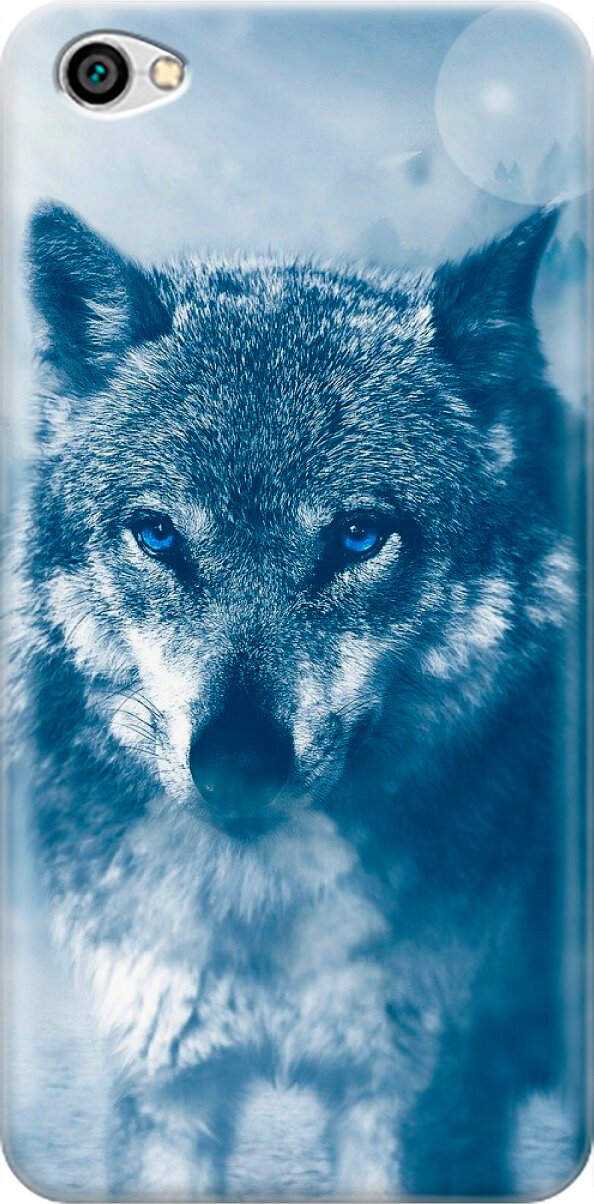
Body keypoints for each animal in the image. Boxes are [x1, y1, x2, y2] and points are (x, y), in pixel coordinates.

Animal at [10, 200, 585, 1198]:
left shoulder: (415, 1095)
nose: (238, 767)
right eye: (157, 535)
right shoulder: (167, 1084)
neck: (264, 917)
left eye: (358, 536)